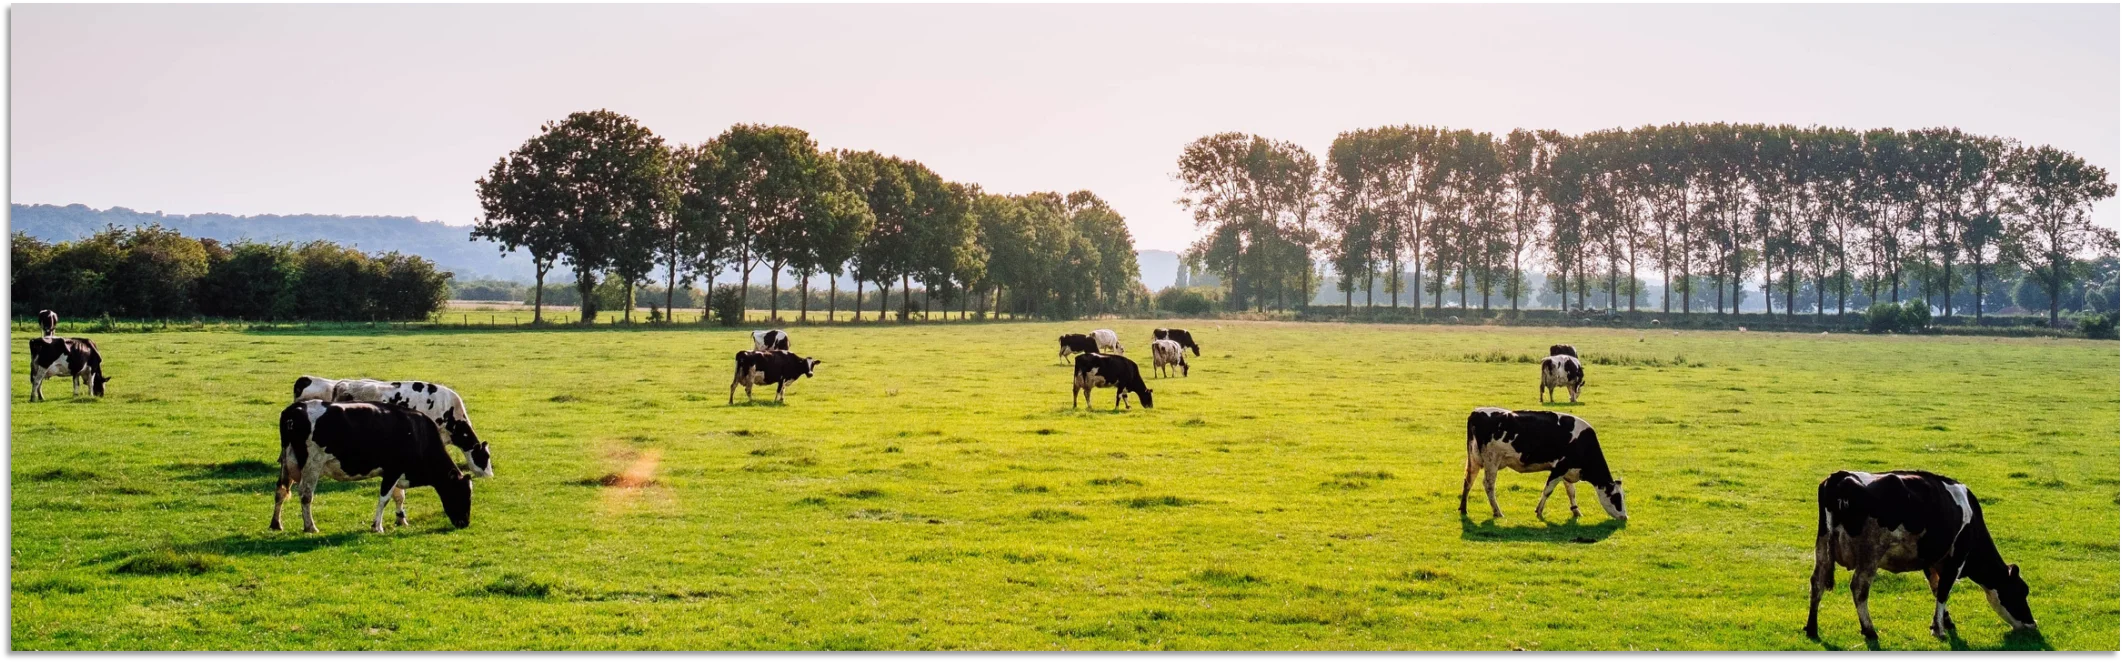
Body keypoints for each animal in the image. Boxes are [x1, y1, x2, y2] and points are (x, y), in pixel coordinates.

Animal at [272, 401, 473, 533]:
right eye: (462, 493)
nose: (465, 522)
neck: (418, 434)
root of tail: (294, 408)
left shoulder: (394, 472)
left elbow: (398, 496)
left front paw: (401, 520)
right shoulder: (393, 470)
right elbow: (384, 498)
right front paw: (377, 526)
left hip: (286, 462)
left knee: (281, 490)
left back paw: (276, 524)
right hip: (312, 464)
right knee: (306, 495)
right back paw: (310, 527)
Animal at [1459, 407, 1626, 521]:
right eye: (1616, 498)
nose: (1625, 517)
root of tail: (1476, 412)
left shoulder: (1567, 470)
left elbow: (1571, 491)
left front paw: (1576, 511)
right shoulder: (1559, 468)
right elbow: (1548, 490)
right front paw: (1539, 511)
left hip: (1474, 460)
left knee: (1468, 481)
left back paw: (1463, 509)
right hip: (1491, 461)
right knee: (1488, 485)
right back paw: (1497, 512)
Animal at [1805, 470, 2036, 640]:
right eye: (2020, 592)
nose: (2032, 624)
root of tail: (1840, 476)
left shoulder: (1931, 560)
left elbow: (1935, 588)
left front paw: (1944, 621)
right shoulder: (1956, 558)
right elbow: (1943, 591)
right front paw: (1939, 630)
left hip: (1822, 546)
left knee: (1817, 582)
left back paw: (1811, 628)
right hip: (1870, 552)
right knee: (1859, 588)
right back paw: (1870, 630)